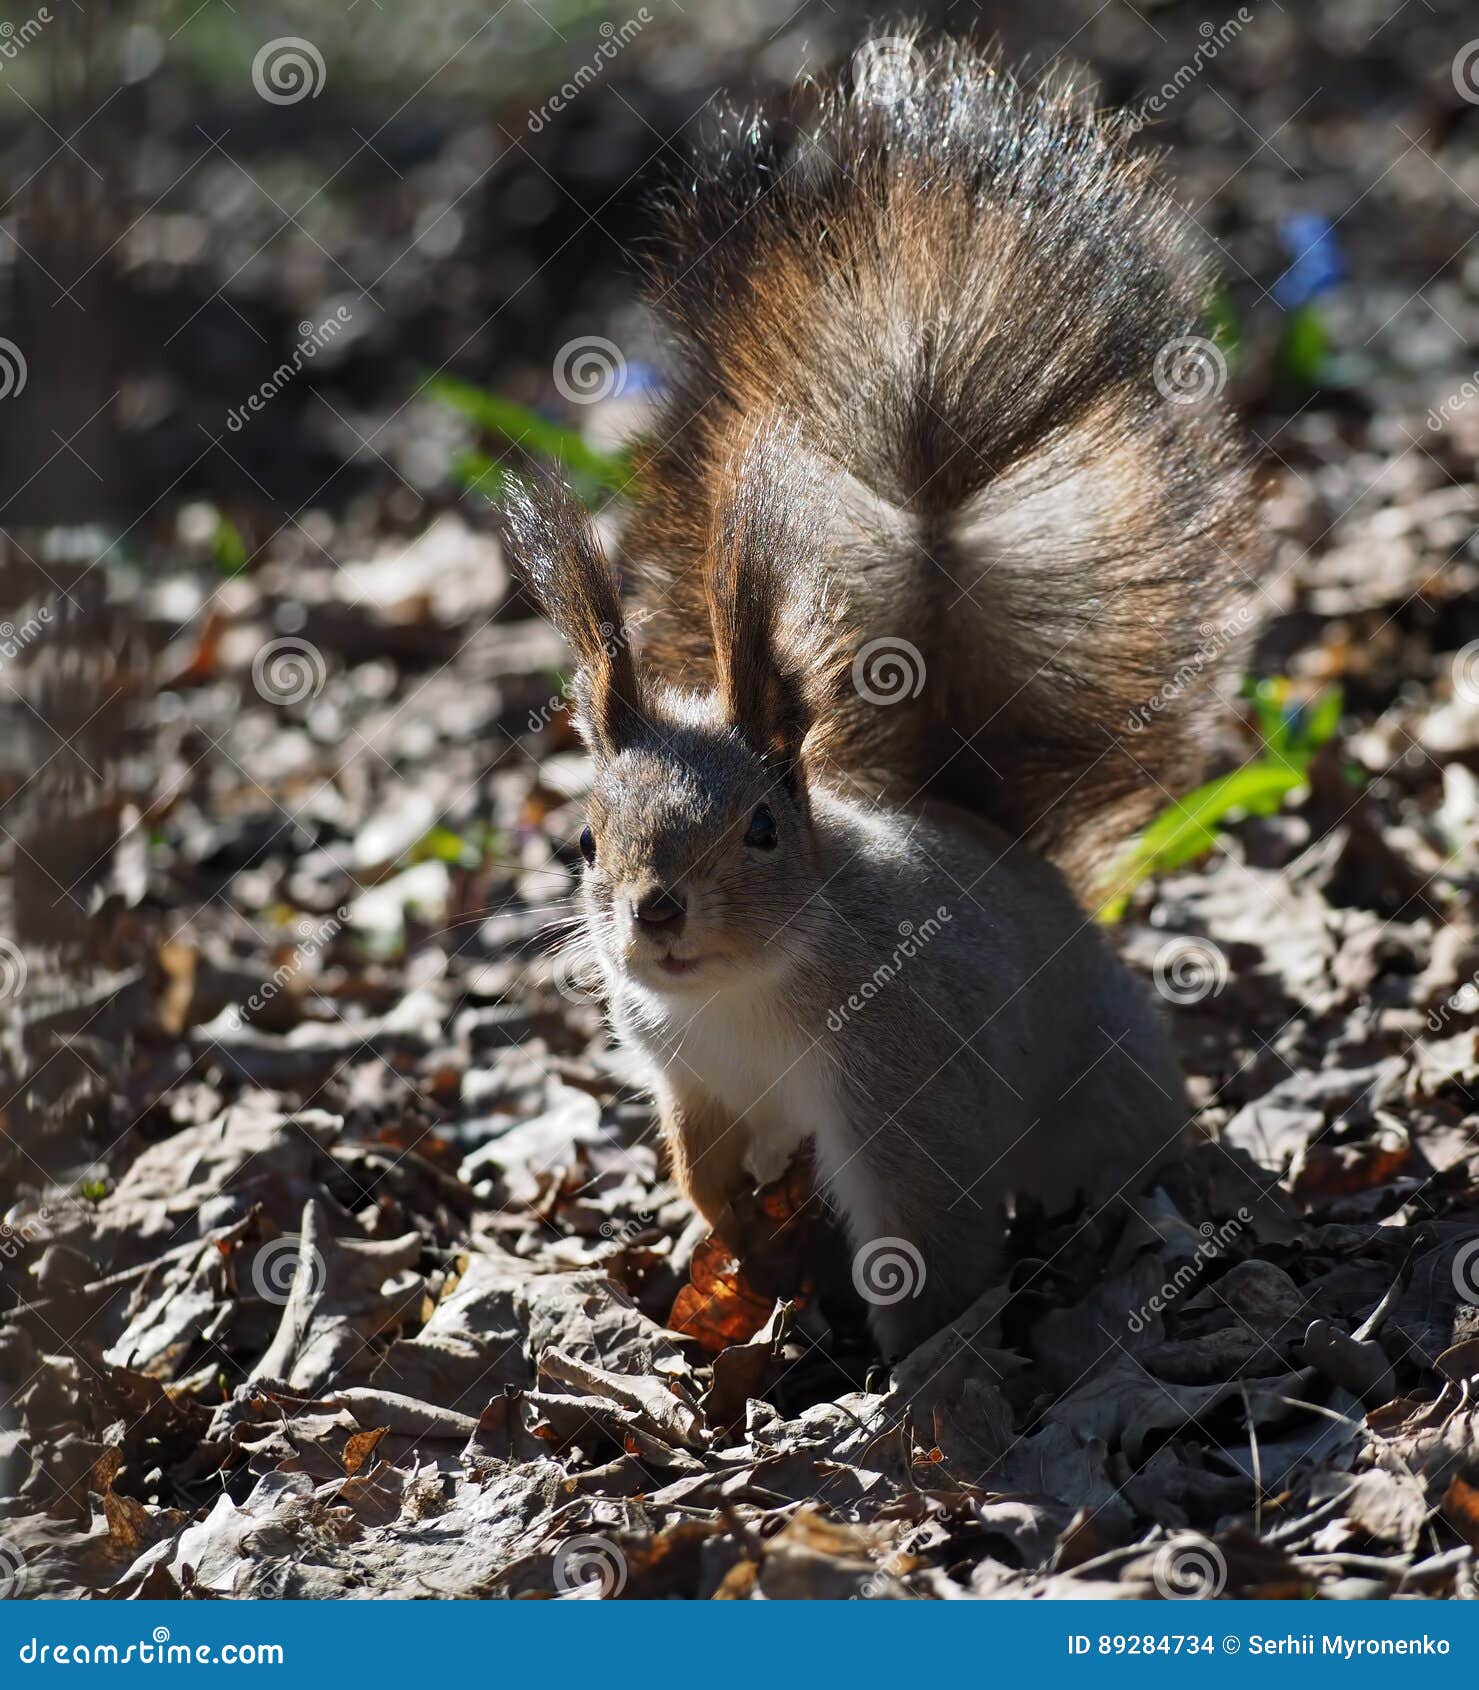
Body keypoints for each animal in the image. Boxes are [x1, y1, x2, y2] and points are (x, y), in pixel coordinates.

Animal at [504, 32, 1258, 1358]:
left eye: (763, 826)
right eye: (583, 840)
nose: (655, 911)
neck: (751, 988)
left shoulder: (911, 1086)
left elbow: (927, 1244)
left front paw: (914, 1384)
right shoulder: (687, 1076)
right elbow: (702, 1168)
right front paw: (746, 1247)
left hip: (1109, 1084)